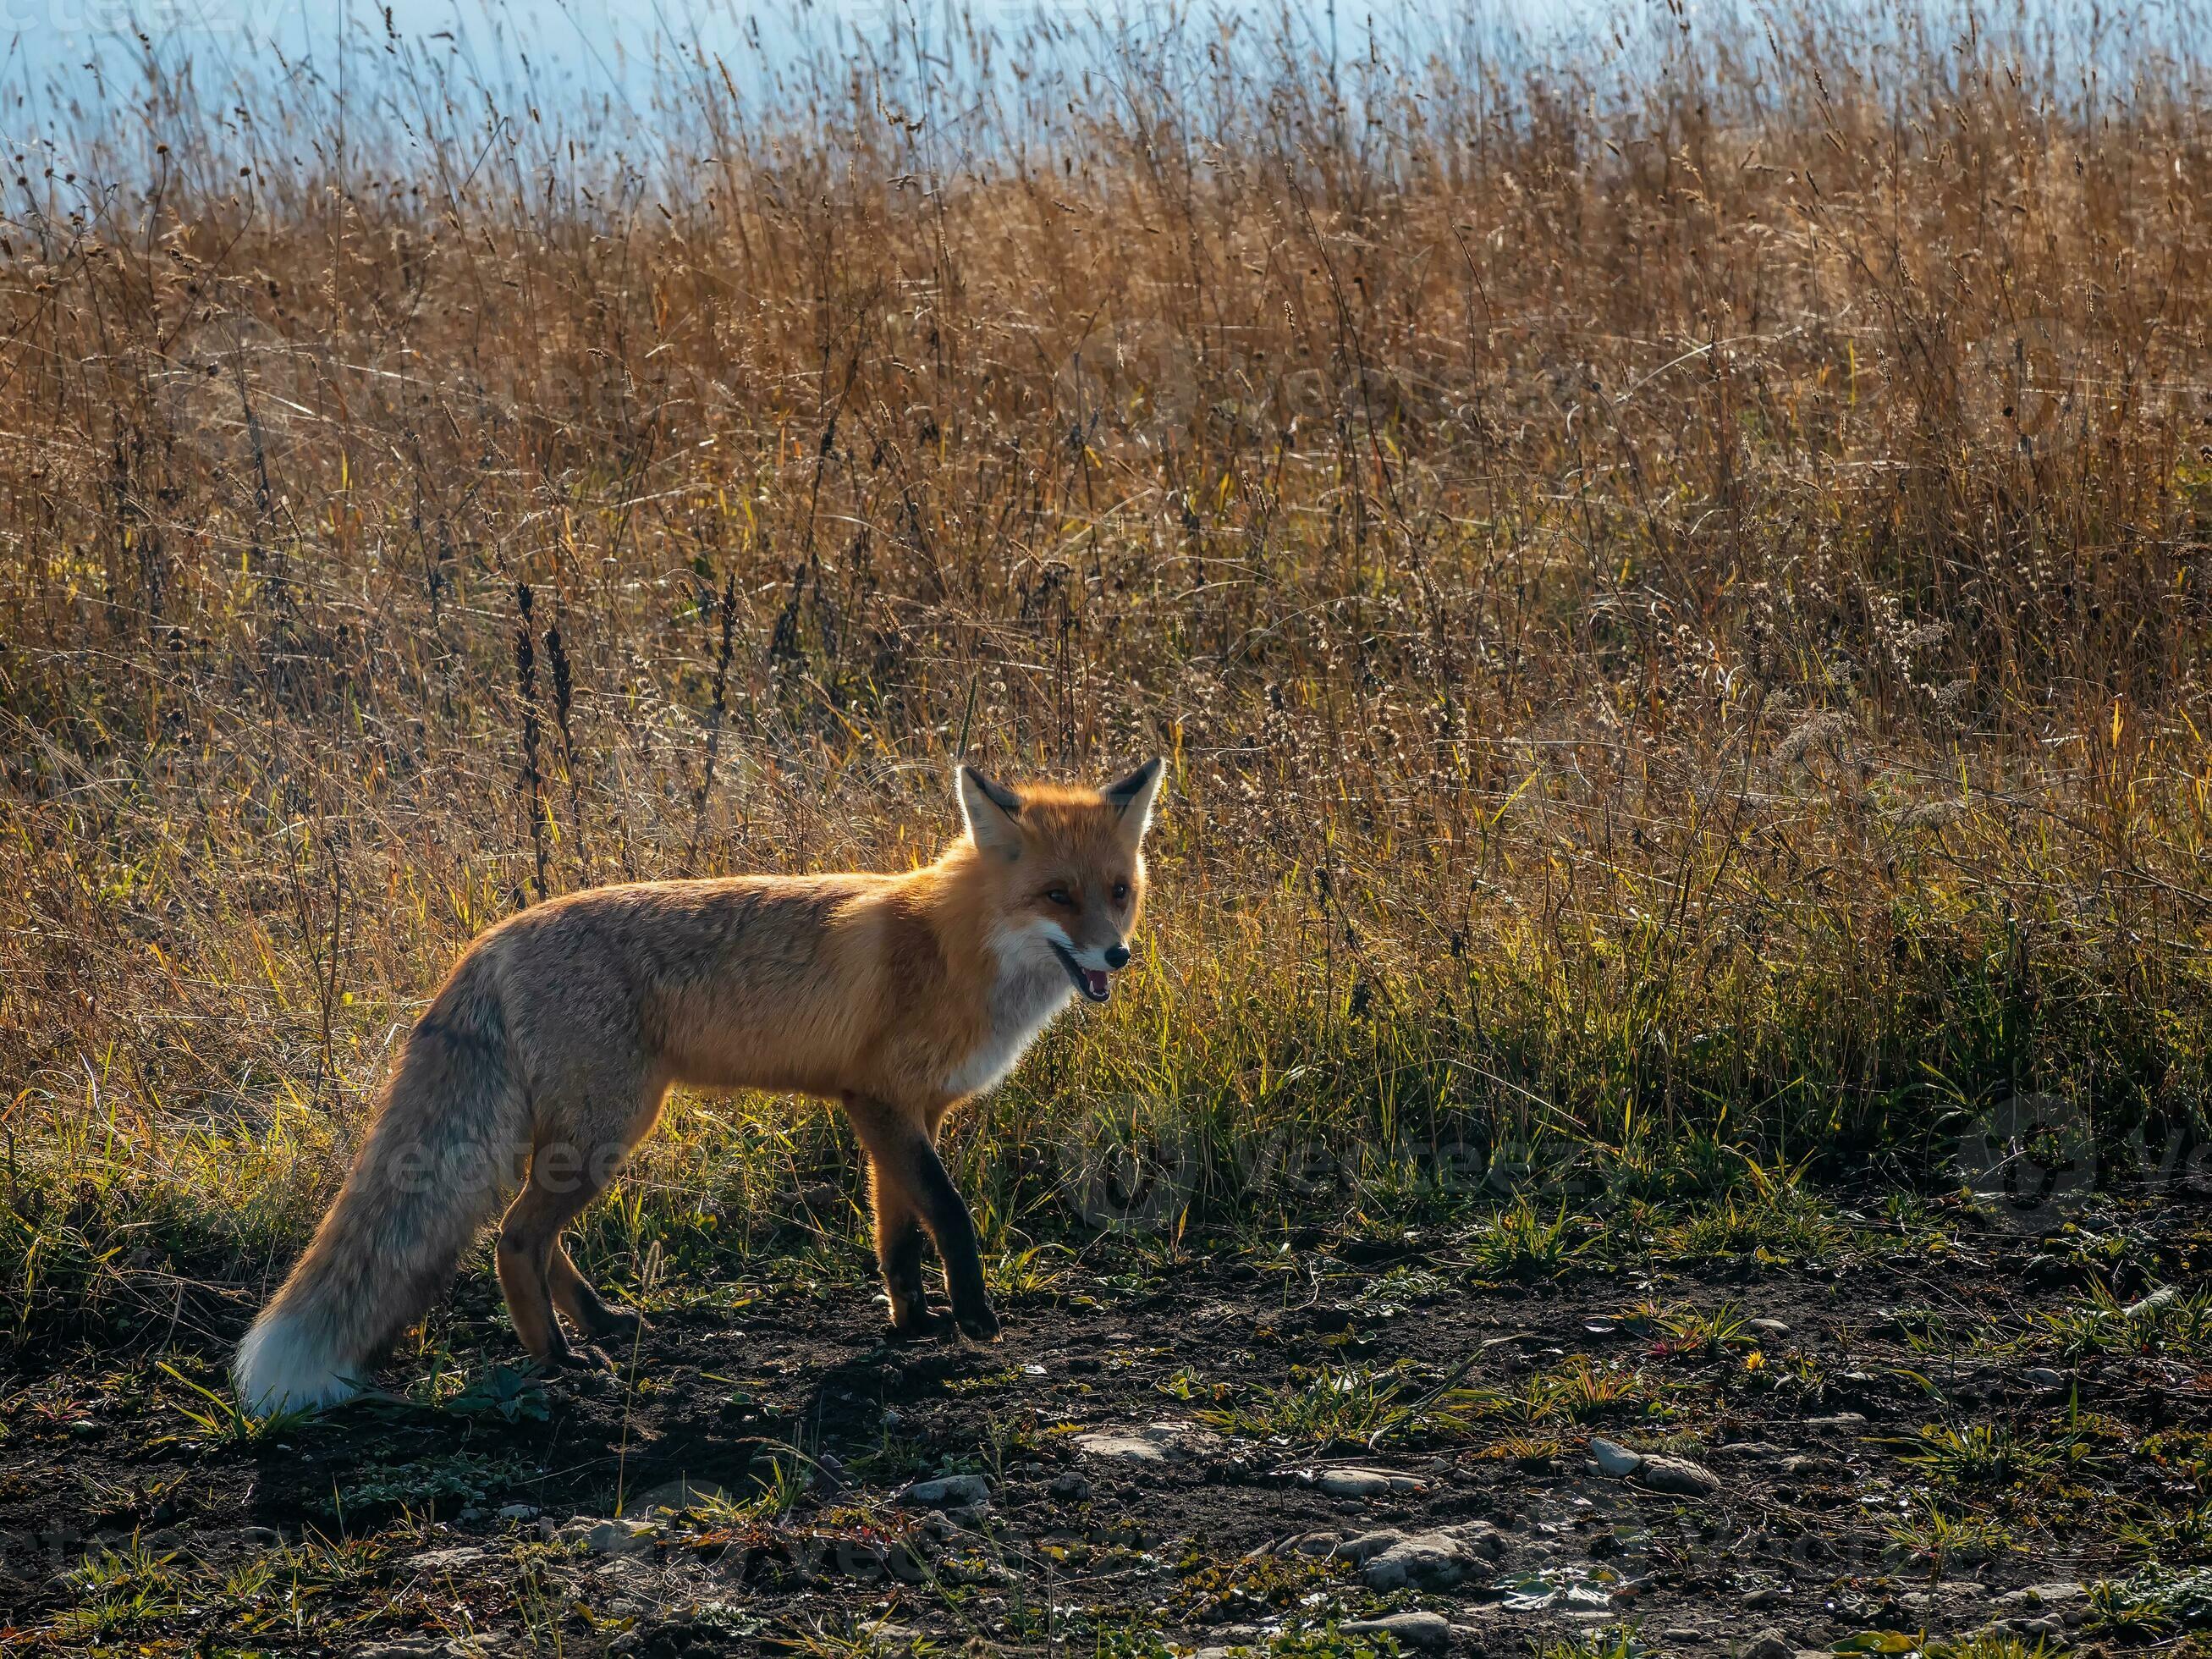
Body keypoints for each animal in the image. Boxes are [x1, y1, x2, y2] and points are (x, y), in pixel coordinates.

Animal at [233, 758, 1165, 1412]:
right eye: (1057, 895)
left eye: (1118, 893)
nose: (1117, 955)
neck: (951, 948)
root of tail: (492, 938)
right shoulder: (878, 1102)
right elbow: (951, 1215)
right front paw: (972, 1317)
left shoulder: (906, 1113)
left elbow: (898, 1235)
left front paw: (912, 1327)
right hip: (610, 1129)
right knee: (514, 1238)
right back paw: (559, 1359)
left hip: (583, 1138)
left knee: (520, 1232)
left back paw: (601, 1322)